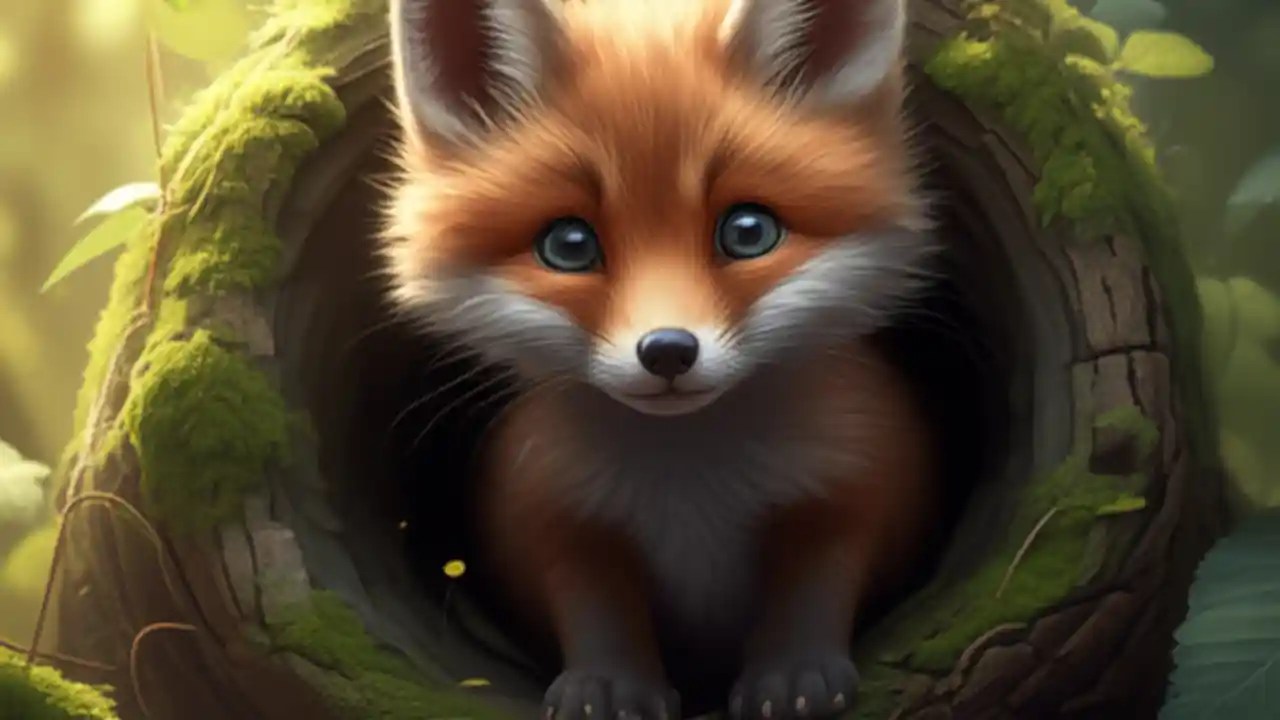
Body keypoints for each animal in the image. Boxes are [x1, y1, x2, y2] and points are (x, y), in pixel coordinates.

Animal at [380, 0, 942, 718]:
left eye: (749, 232)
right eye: (568, 245)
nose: (668, 350)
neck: (691, 486)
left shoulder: (854, 485)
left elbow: (816, 587)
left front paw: (794, 672)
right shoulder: (555, 515)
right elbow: (595, 608)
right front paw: (609, 685)